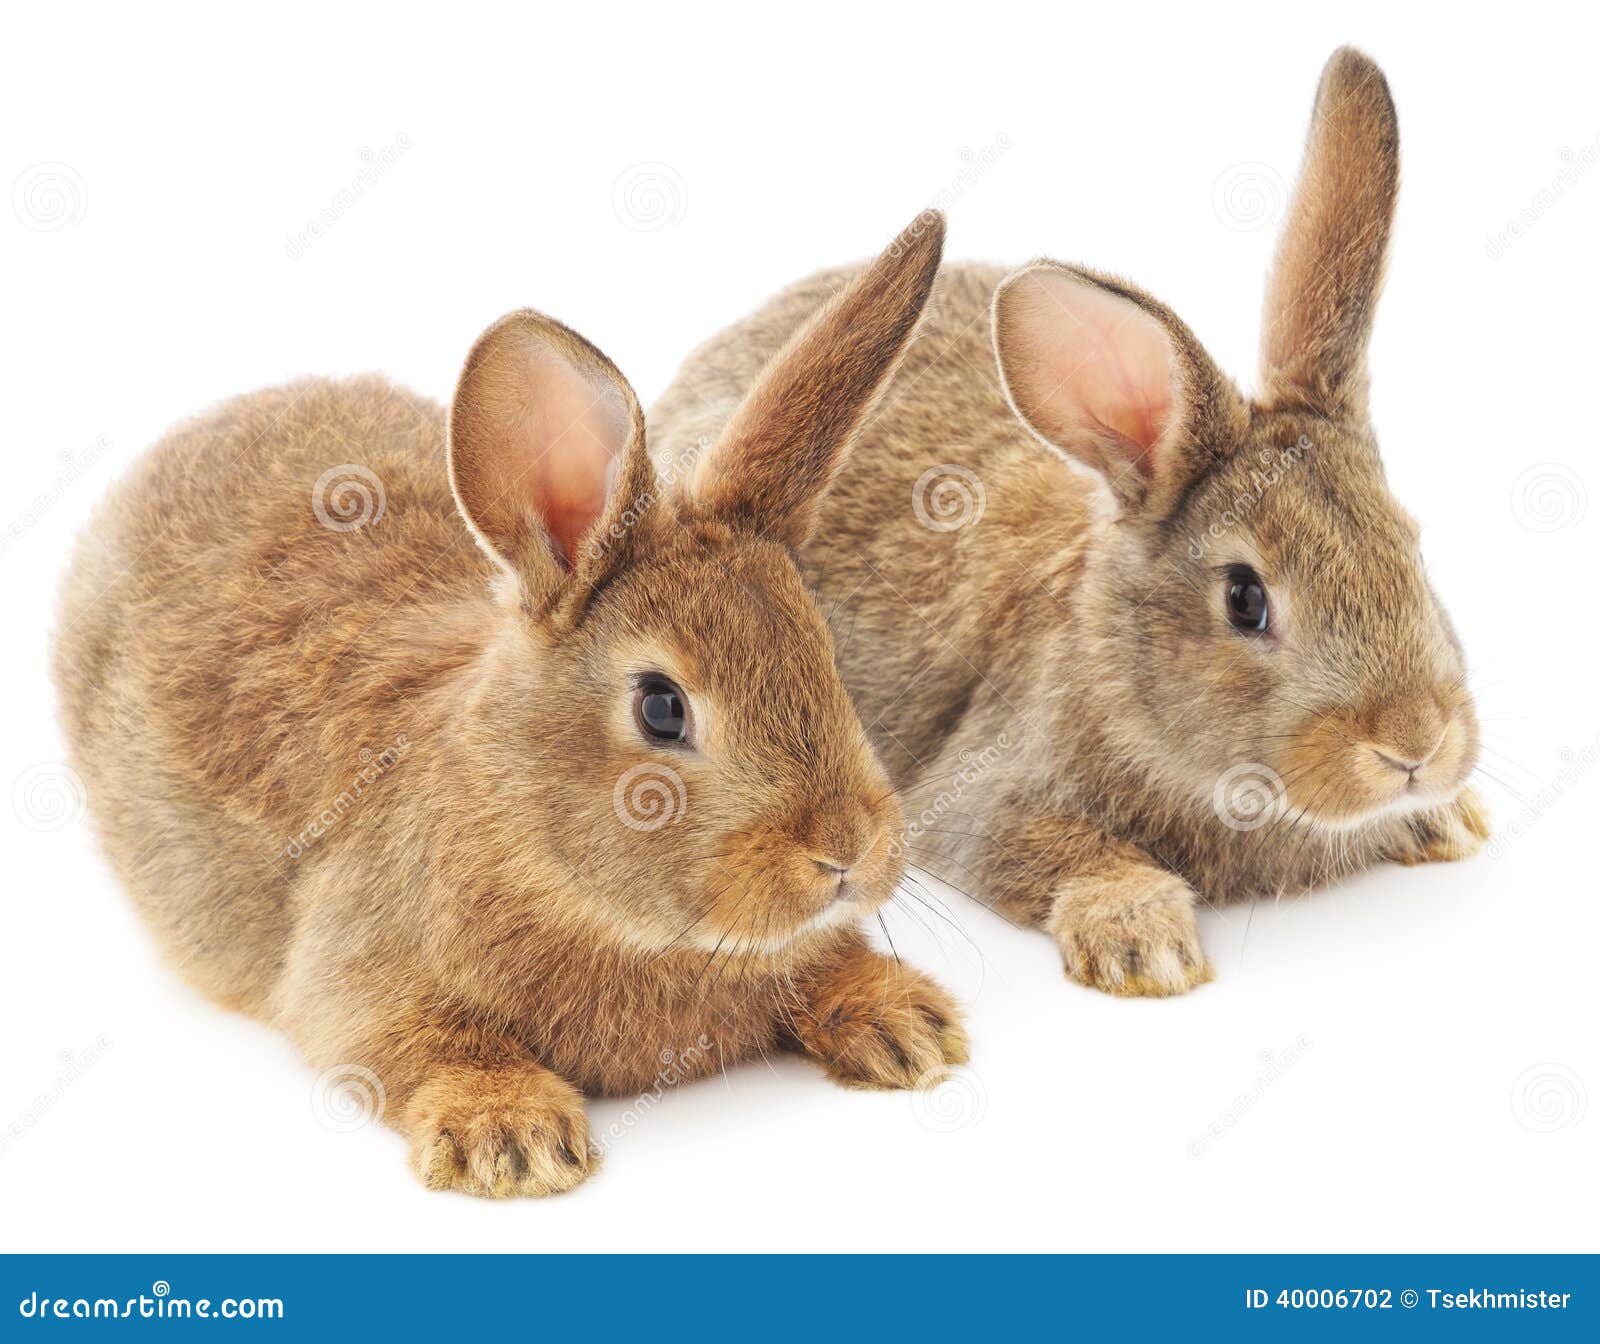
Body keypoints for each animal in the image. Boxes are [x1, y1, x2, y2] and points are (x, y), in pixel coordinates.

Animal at [52, 212, 967, 1198]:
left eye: (824, 654)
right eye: (661, 709)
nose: (848, 852)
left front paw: (908, 1024)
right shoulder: (356, 972)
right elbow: (422, 1042)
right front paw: (515, 1137)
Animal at [648, 49, 1488, 999]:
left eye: (1412, 545)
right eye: (1245, 599)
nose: (1416, 742)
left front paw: (1448, 822)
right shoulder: (978, 801)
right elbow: (1064, 852)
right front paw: (1144, 946)